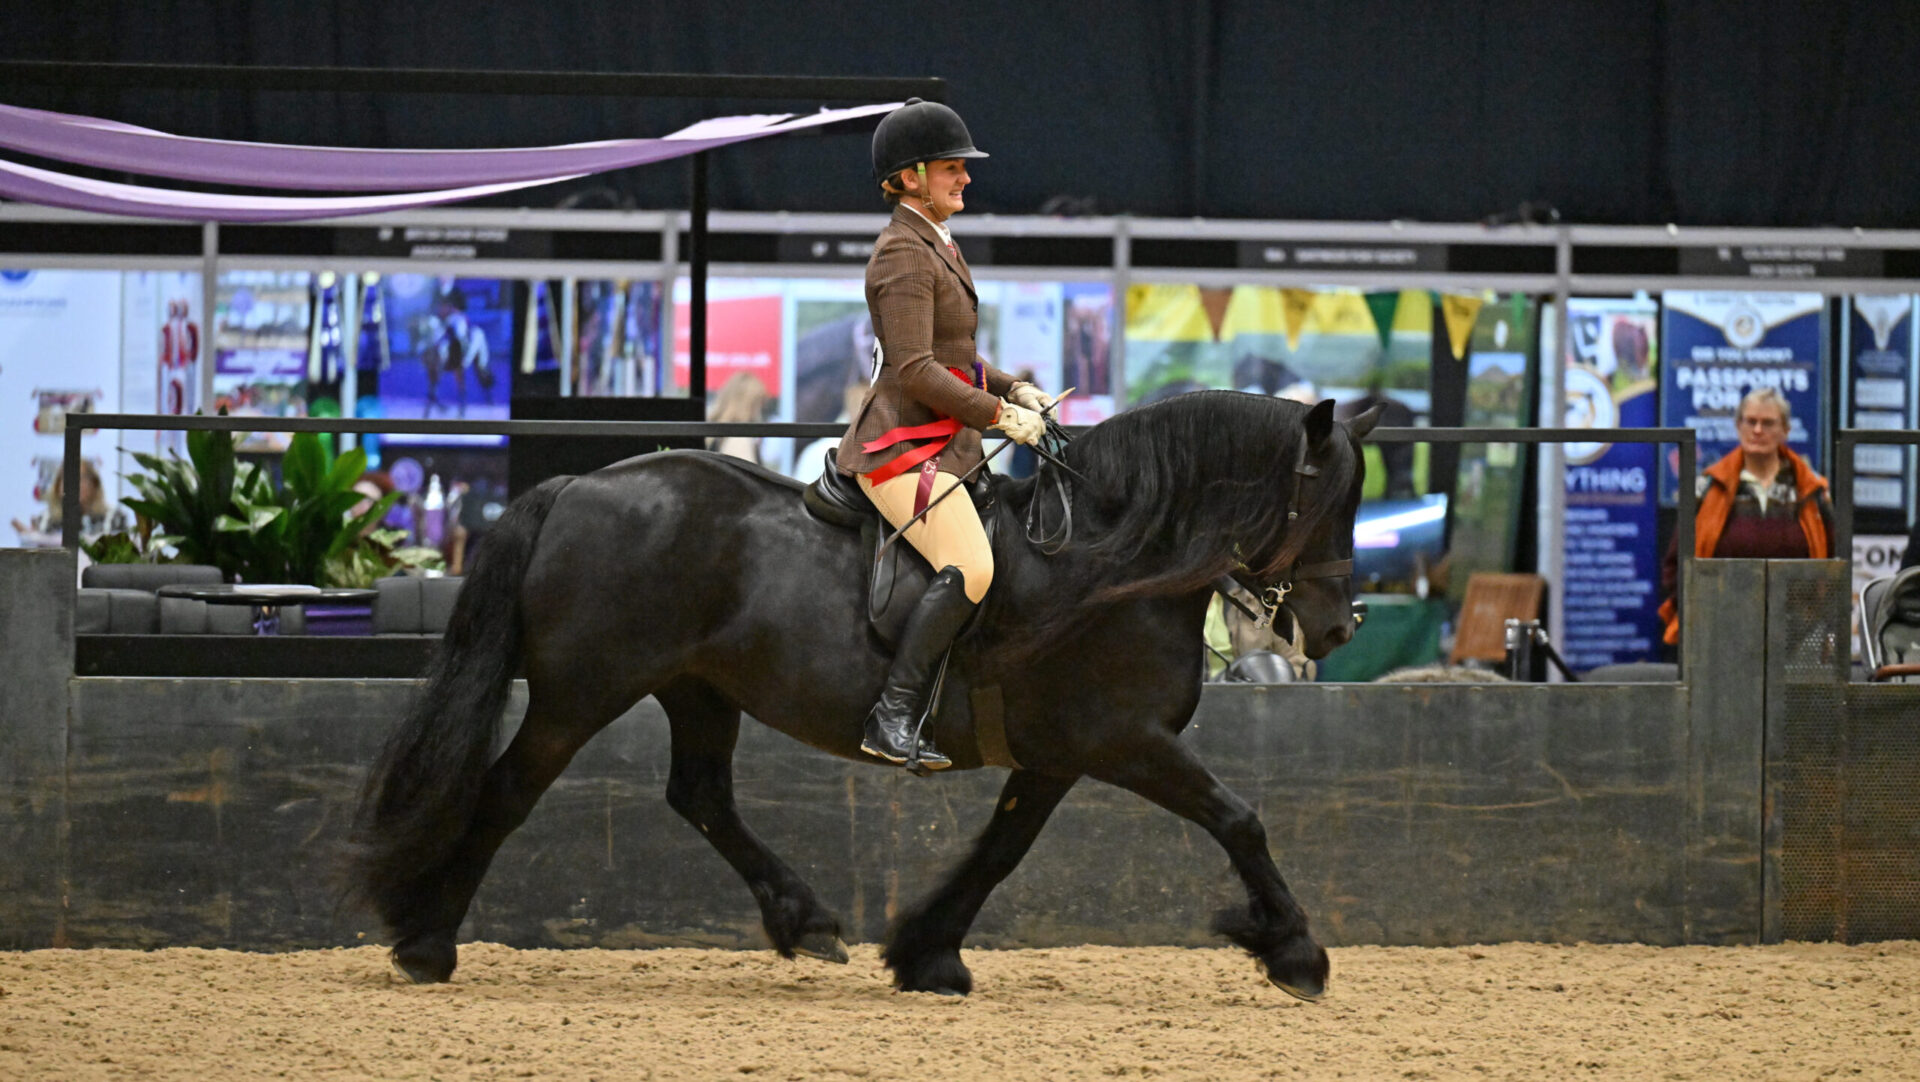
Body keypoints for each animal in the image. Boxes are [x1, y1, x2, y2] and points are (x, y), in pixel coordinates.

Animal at [345, 390, 1381, 999]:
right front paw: (1294, 952)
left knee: (700, 796)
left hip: (696, 687)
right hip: (582, 693)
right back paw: (427, 945)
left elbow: (999, 852)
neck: (1110, 565)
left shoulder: (1056, 758)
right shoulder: (1125, 740)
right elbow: (1240, 819)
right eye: (1328, 502)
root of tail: (576, 486)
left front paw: (927, 954)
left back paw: (804, 923)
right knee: (507, 791)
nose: (1339, 629)